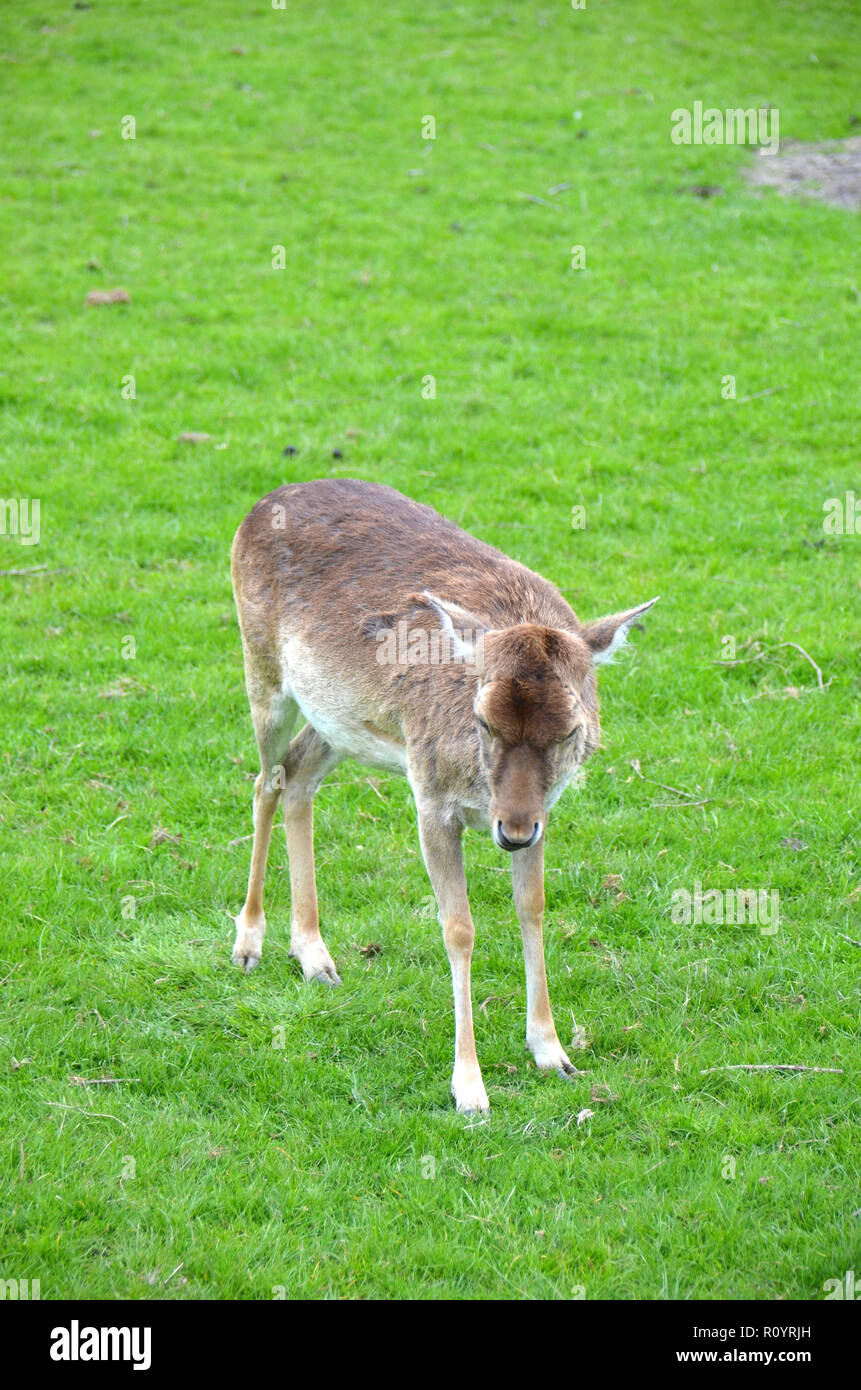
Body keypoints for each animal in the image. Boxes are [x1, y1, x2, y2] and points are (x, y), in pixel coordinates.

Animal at [230, 479, 657, 1114]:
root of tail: (264, 503)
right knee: (266, 780)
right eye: (482, 720)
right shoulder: (429, 796)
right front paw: (470, 1089)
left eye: (572, 729)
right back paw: (249, 942)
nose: (511, 831)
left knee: (298, 775)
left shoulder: (543, 812)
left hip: (337, 719)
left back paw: (314, 955)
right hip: (262, 668)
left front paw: (553, 1053)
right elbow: (458, 927)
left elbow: (533, 907)